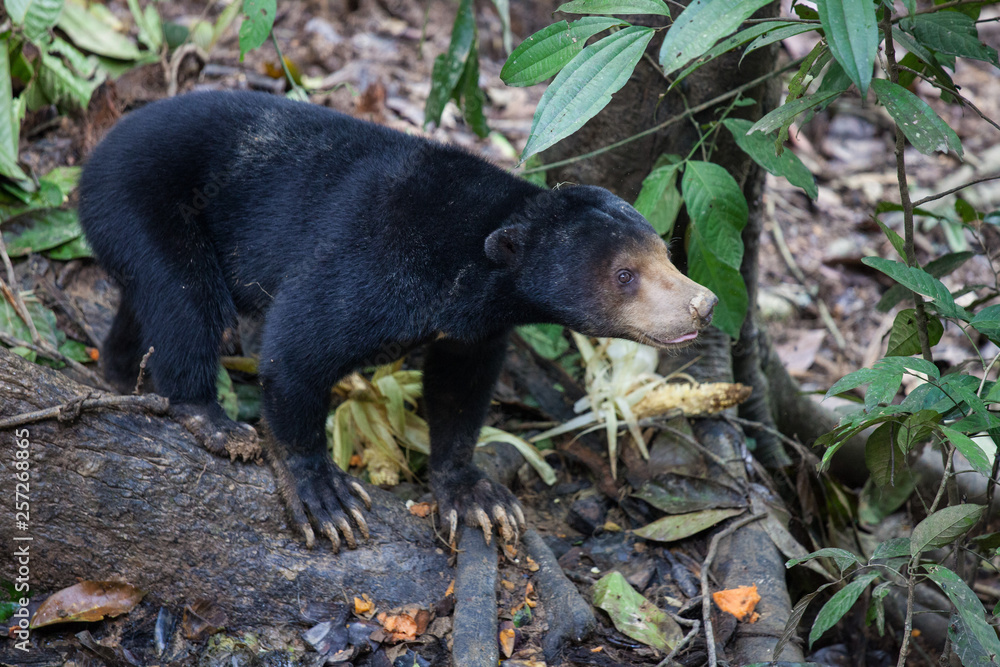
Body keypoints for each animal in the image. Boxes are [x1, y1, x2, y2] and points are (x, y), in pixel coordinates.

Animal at [79, 90, 717, 550]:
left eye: (664, 251)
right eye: (625, 275)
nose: (703, 303)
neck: (480, 259)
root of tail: (99, 148)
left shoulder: (474, 323)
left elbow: (461, 383)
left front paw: (473, 494)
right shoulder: (377, 263)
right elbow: (297, 347)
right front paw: (323, 494)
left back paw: (119, 371)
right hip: (139, 200)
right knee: (186, 298)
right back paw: (207, 415)